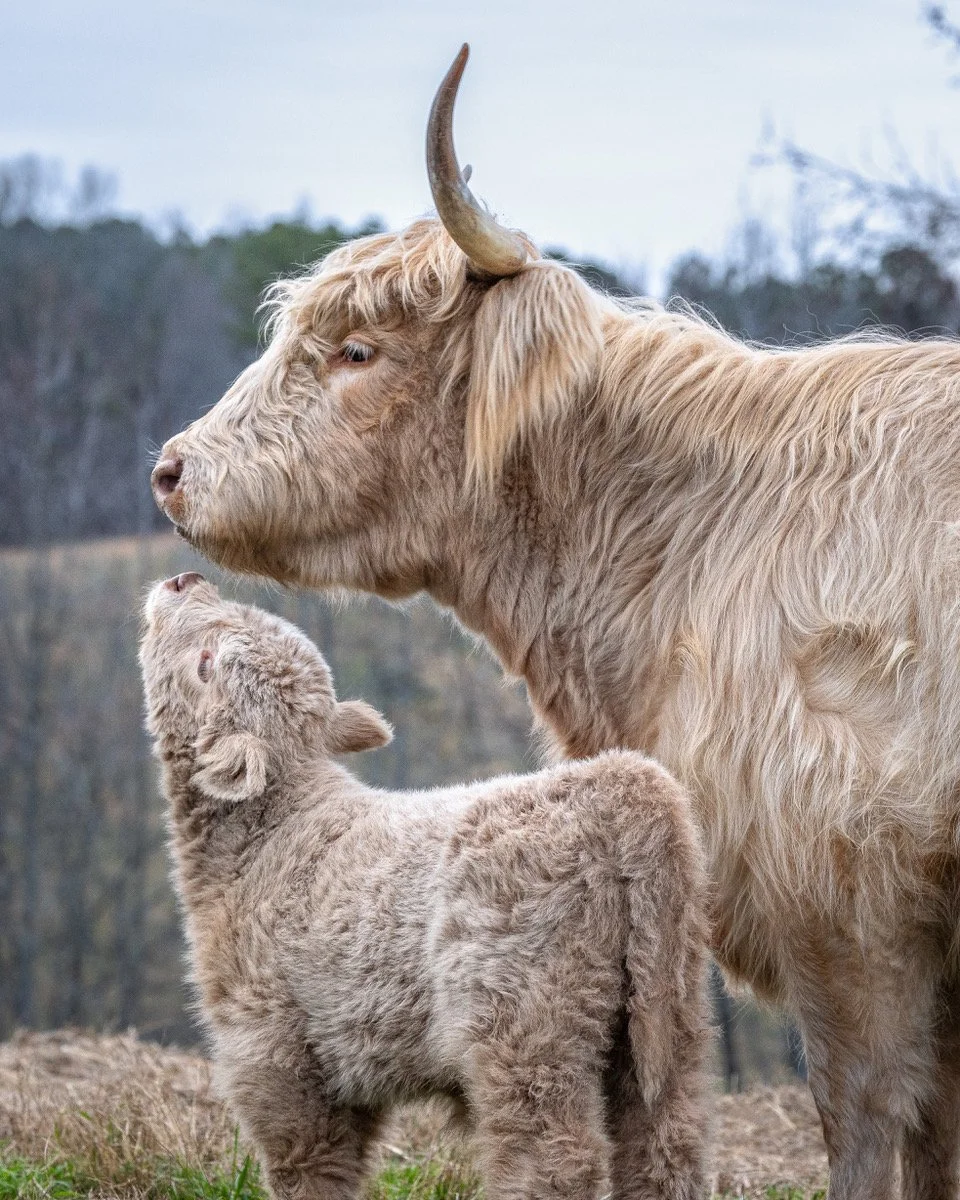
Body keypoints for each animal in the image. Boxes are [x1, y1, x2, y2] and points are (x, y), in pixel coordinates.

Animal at [151, 46, 960, 1199]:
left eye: (357, 351)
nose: (173, 470)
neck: (695, 540)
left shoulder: (852, 903)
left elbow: (866, 1114)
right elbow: (937, 1124)